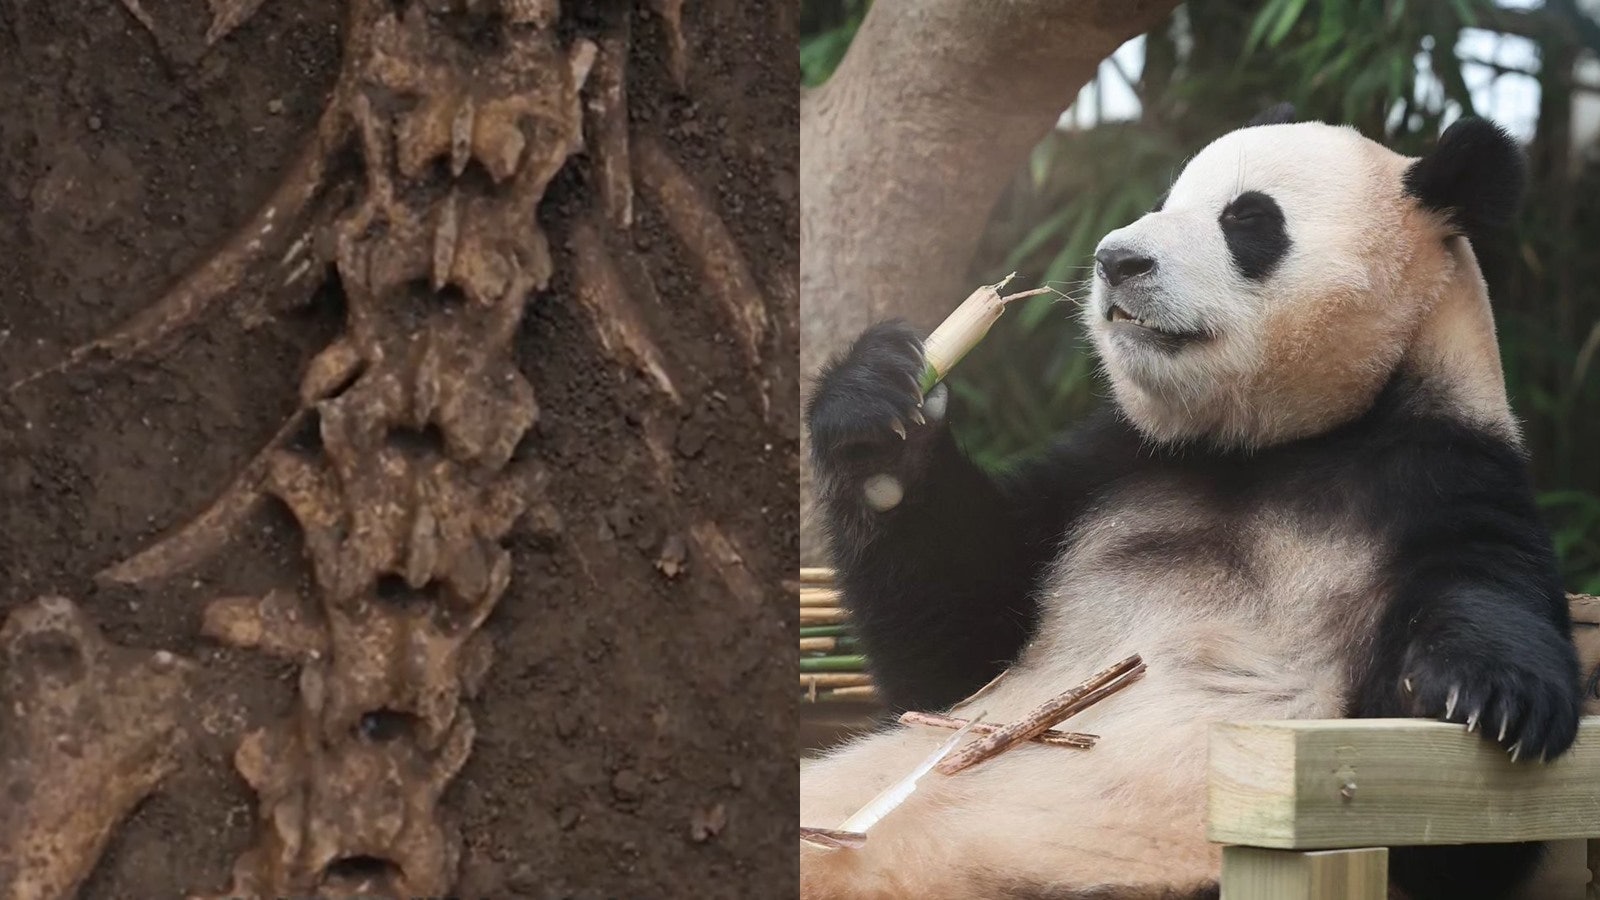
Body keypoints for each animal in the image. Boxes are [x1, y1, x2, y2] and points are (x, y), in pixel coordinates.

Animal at [800, 106, 1582, 900]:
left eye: (1248, 219)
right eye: (1164, 202)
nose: (1116, 260)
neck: (1266, 444)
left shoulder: (1445, 473)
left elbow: (1479, 628)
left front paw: (1480, 697)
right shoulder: (1107, 469)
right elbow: (952, 650)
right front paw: (880, 414)